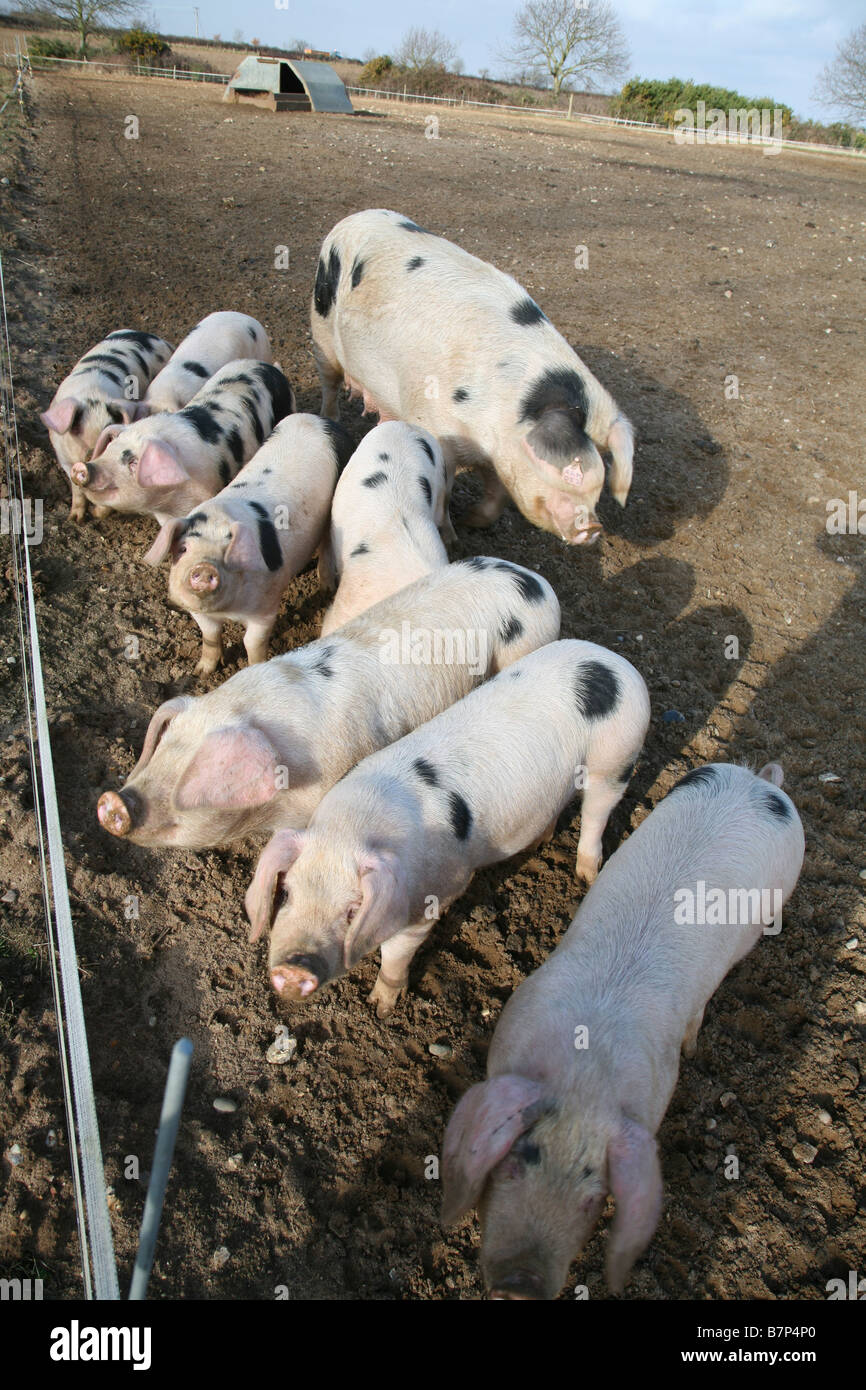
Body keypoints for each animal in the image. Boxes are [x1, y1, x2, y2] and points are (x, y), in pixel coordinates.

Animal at [40, 330, 172, 522]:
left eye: (109, 435)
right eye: (77, 429)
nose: (89, 460)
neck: (93, 393)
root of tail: (153, 336)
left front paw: (96, 514)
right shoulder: (63, 456)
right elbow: (77, 489)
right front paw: (75, 519)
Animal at [143, 414, 354, 674]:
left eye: (229, 552)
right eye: (183, 549)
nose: (203, 567)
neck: (228, 610)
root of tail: (321, 419)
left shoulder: (265, 608)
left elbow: (252, 643)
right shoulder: (195, 609)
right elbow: (210, 636)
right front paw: (201, 672)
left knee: (326, 546)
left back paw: (326, 589)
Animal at [246, 639, 649, 1018]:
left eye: (353, 909)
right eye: (287, 893)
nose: (294, 972)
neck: (349, 830)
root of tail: (612, 661)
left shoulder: (431, 895)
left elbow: (395, 953)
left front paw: (380, 1008)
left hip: (617, 759)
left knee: (597, 813)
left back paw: (586, 877)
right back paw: (540, 843)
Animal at [310, 209, 634, 545]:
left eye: (599, 479)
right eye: (570, 470)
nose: (593, 528)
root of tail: (354, 218)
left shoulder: (501, 459)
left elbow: (496, 499)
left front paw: (471, 521)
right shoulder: (435, 428)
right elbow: (444, 490)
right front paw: (453, 538)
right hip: (321, 332)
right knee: (330, 385)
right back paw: (331, 417)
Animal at [440, 761, 805, 1300]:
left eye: (594, 1199)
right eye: (514, 1163)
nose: (521, 1285)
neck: (585, 1077)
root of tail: (763, 783)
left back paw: (695, 1044)